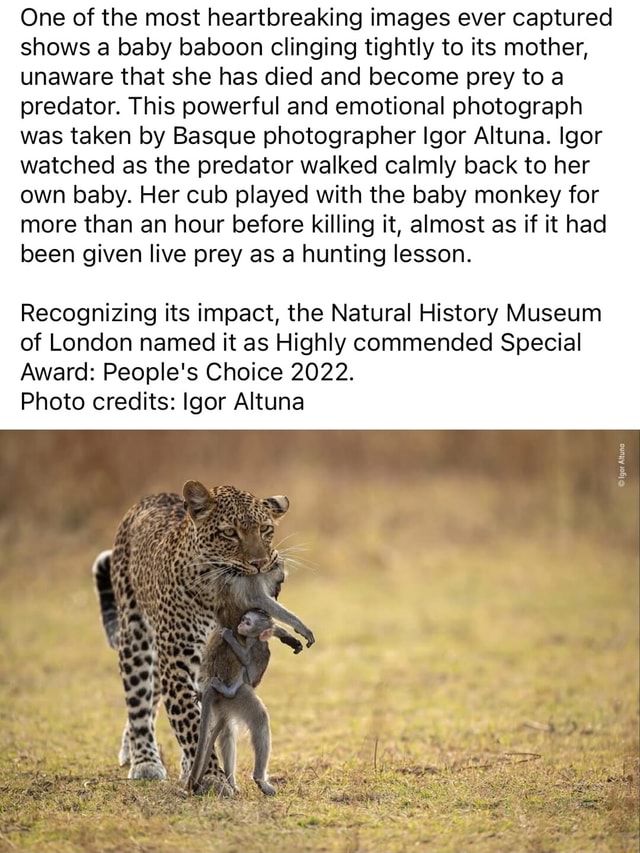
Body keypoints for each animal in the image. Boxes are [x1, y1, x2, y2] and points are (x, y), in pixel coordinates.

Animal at [186, 609, 300, 795]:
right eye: (244, 619)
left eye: (247, 622)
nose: (240, 624)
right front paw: (287, 636)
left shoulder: (253, 646)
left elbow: (247, 658)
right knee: (231, 731)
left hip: (238, 695)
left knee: (254, 719)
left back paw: (257, 779)